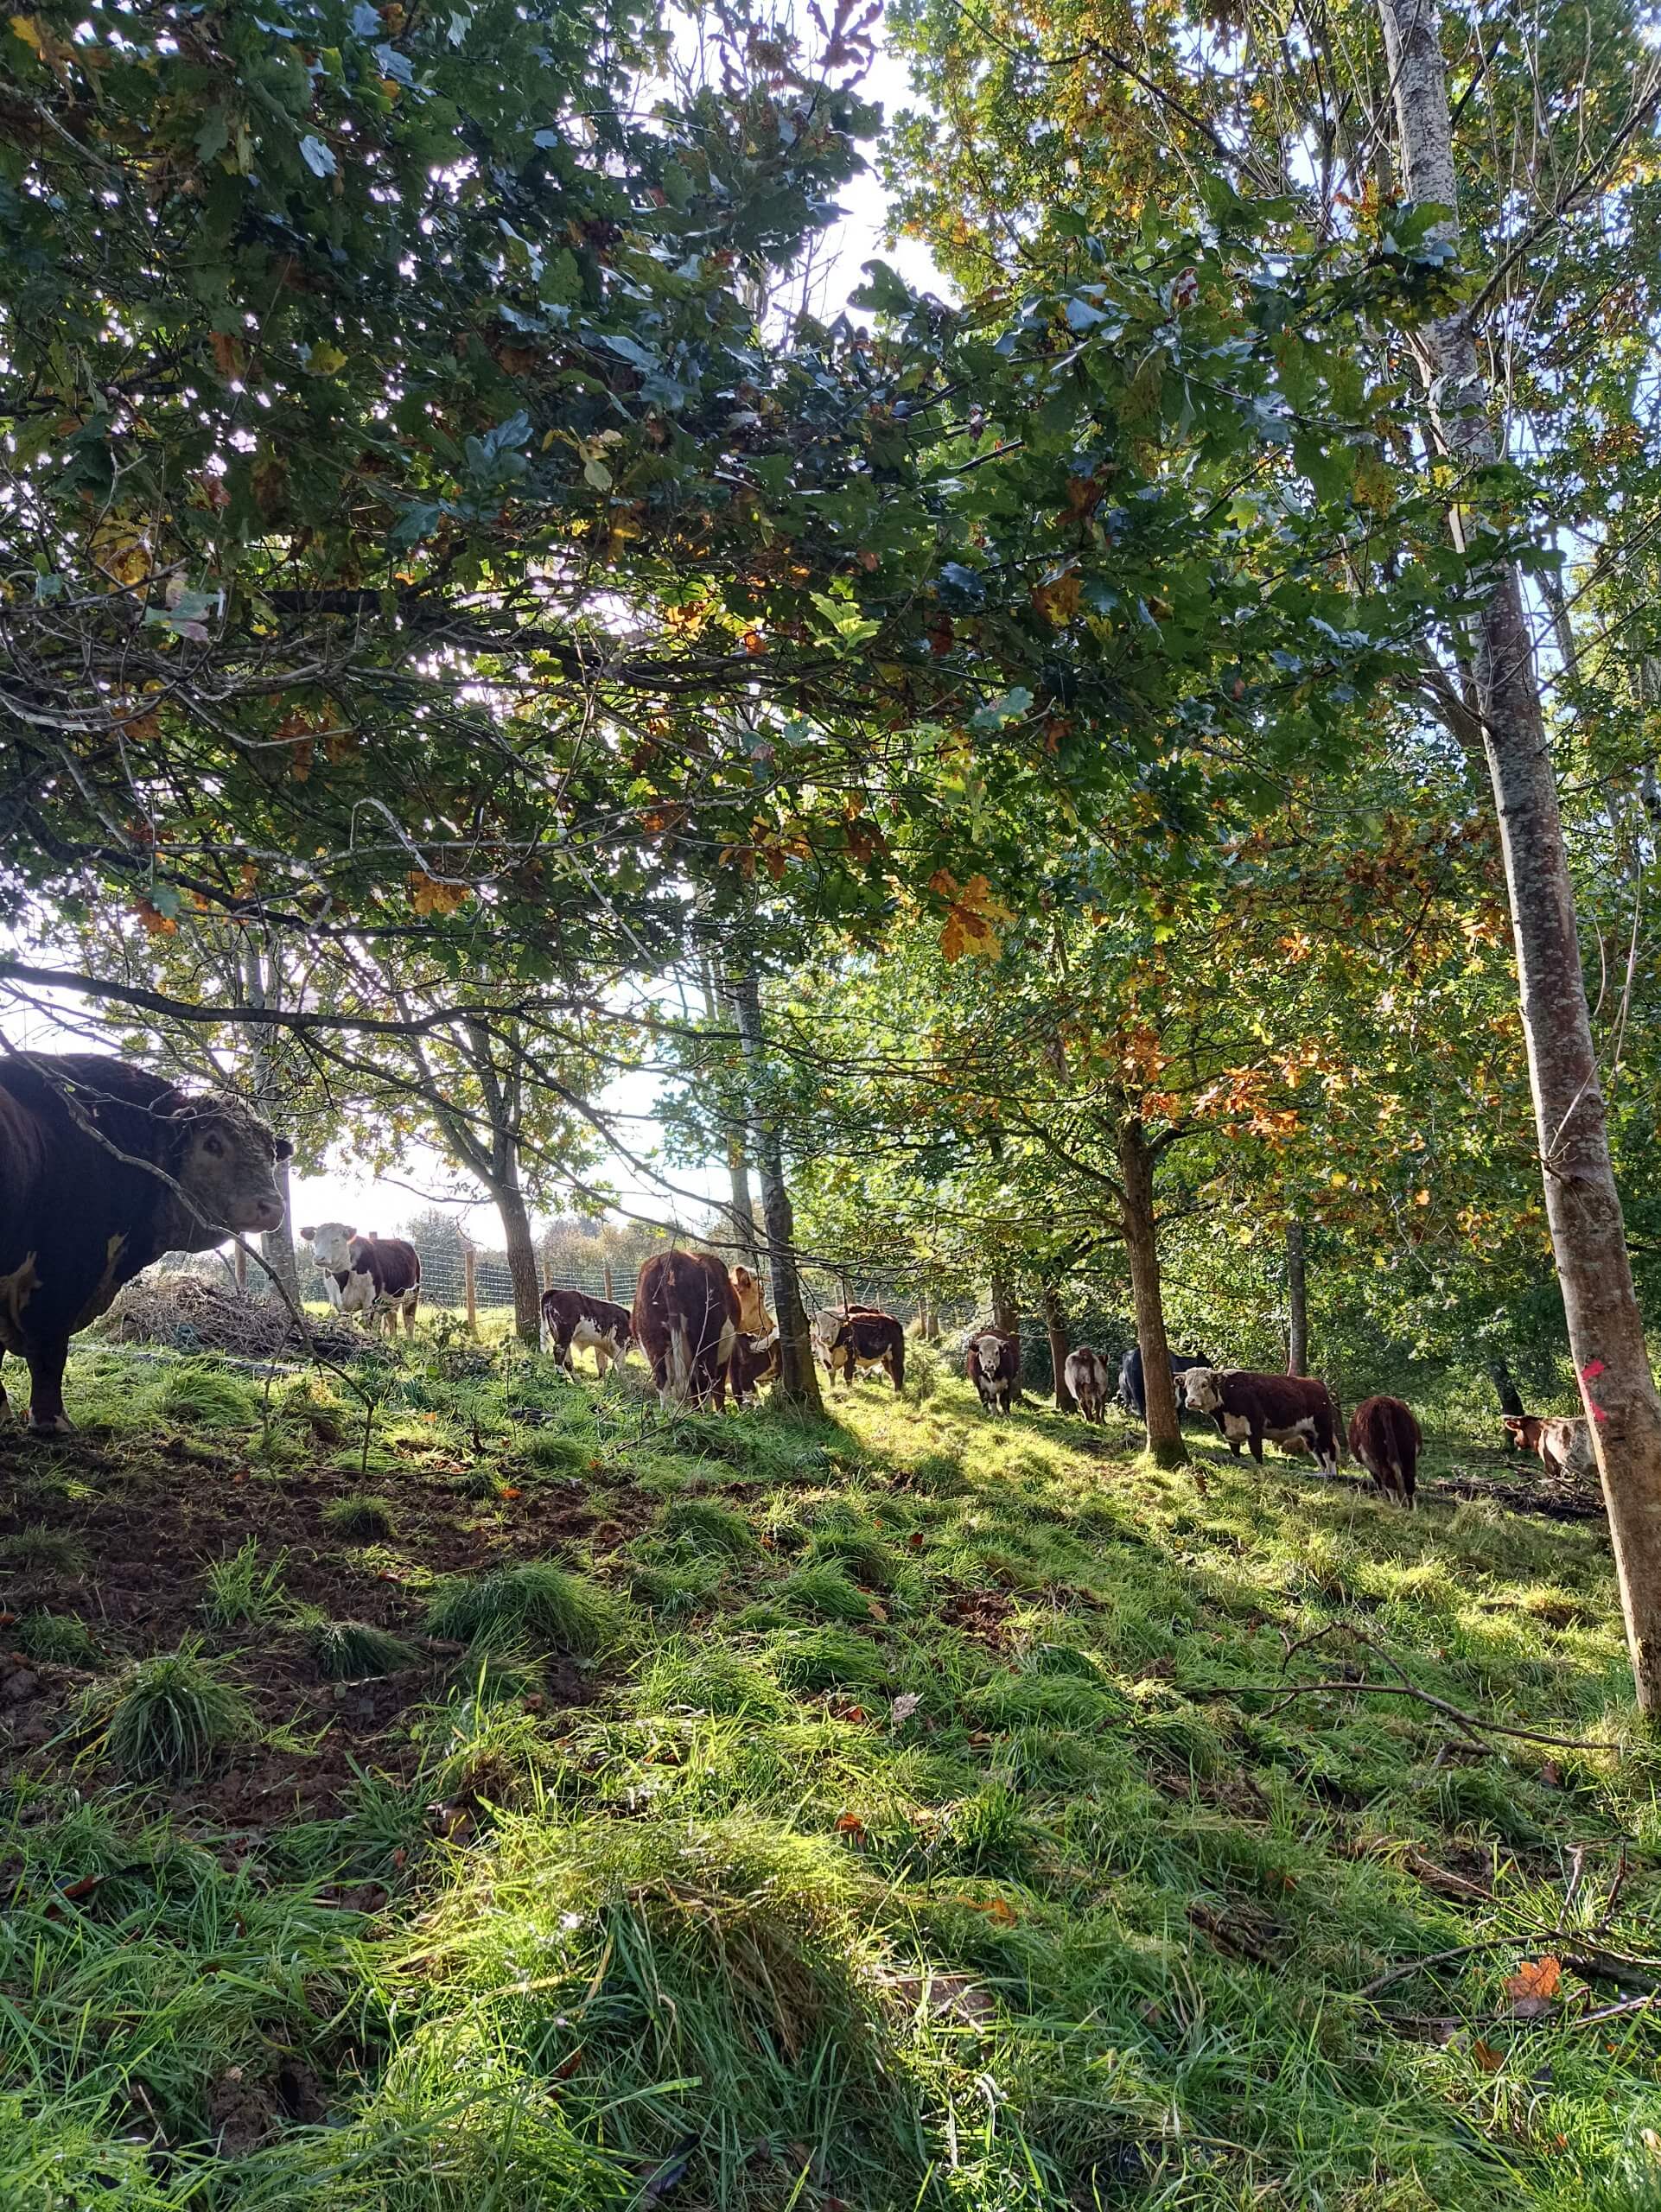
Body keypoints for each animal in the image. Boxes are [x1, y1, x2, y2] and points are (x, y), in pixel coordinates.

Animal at [0, 1052, 290, 1433]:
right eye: (212, 1143)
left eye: (270, 1152)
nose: (271, 1207)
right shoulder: (65, 1269)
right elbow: (49, 1349)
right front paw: (53, 1421)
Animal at [299, 1224, 422, 1336]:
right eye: (315, 1240)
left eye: (336, 1240)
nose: (319, 1258)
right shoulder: (338, 1303)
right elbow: (347, 1324)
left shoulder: (371, 1299)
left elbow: (368, 1324)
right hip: (390, 1300)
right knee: (391, 1318)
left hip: (412, 1295)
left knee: (409, 1321)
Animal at [633, 1249, 738, 1410]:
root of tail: (671, 1258)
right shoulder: (724, 1352)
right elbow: (717, 1387)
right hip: (706, 1342)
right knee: (704, 1381)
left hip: (654, 1341)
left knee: (662, 1380)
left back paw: (667, 1413)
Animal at [1182, 1367, 1342, 1478]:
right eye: (1186, 1385)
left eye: (1204, 1384)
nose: (1190, 1401)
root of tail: (1316, 1382)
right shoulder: (1232, 1435)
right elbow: (1236, 1455)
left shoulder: (1254, 1430)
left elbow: (1257, 1454)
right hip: (1308, 1434)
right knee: (1318, 1455)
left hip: (1323, 1429)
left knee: (1329, 1452)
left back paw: (1331, 1477)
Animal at [1348, 1394, 1421, 1507]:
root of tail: (1383, 1403)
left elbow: (1379, 1483)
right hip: (1408, 1450)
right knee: (1409, 1480)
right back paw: (1410, 1508)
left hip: (1378, 1452)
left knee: (1389, 1479)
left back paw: (1395, 1506)